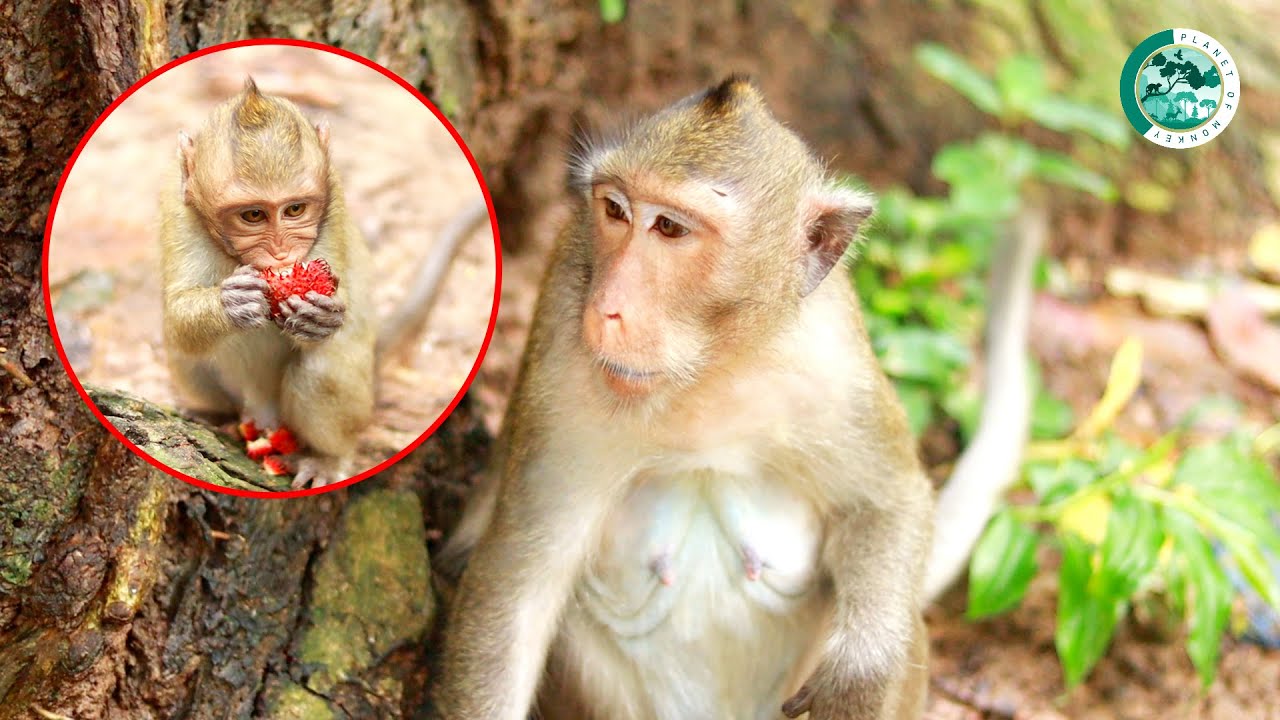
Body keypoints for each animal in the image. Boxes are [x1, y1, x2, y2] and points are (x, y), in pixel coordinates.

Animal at [160, 79, 489, 489]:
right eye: (253, 215)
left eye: (295, 210)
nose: (282, 255)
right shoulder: (177, 210)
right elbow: (176, 318)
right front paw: (230, 303)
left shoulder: (334, 205)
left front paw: (319, 317)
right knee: (185, 355)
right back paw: (216, 415)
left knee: (321, 371)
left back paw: (328, 458)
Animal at [432, 76, 936, 720]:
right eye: (615, 210)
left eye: (670, 228)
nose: (607, 309)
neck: (706, 370)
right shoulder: (562, 367)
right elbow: (517, 590)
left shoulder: (833, 361)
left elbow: (888, 500)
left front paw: (863, 667)